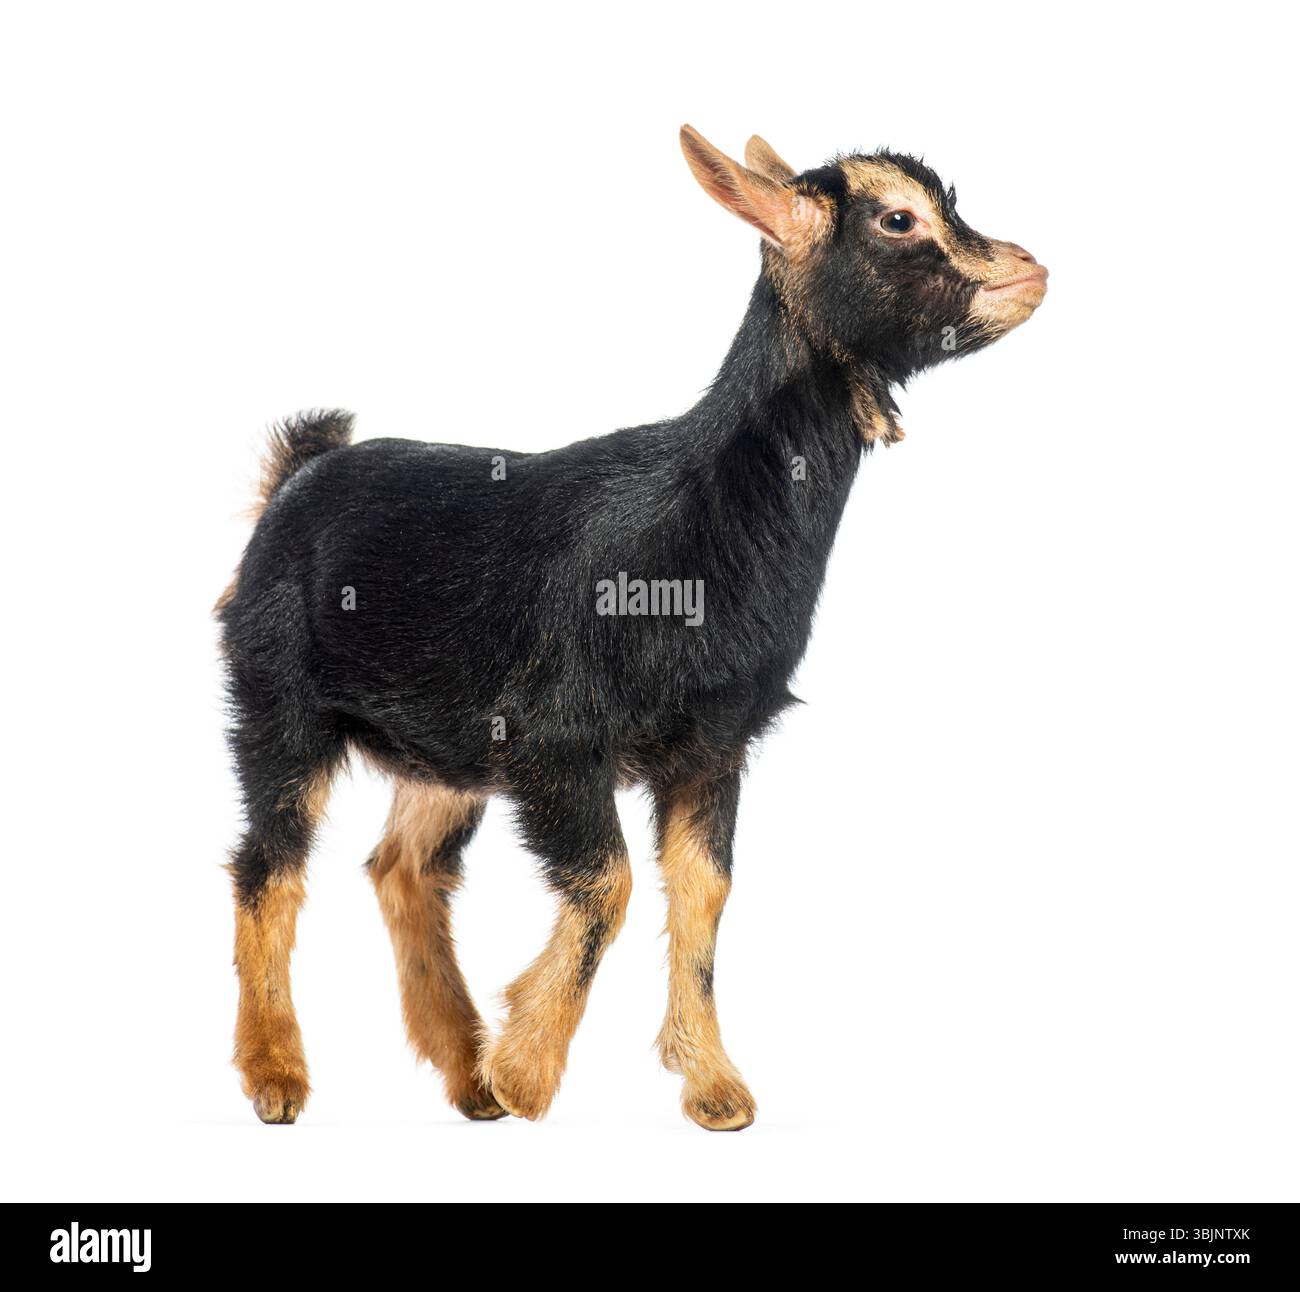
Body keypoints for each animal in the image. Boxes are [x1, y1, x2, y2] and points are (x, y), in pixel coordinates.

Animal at [217, 125, 1047, 1131]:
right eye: (899, 219)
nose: (1030, 267)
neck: (710, 506)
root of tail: (296, 476)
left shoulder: (712, 746)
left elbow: (704, 892)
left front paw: (711, 1084)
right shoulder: (557, 737)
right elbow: (607, 880)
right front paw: (531, 1070)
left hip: (444, 751)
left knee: (405, 869)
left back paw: (465, 1071)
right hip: (278, 703)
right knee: (268, 866)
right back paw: (278, 1073)